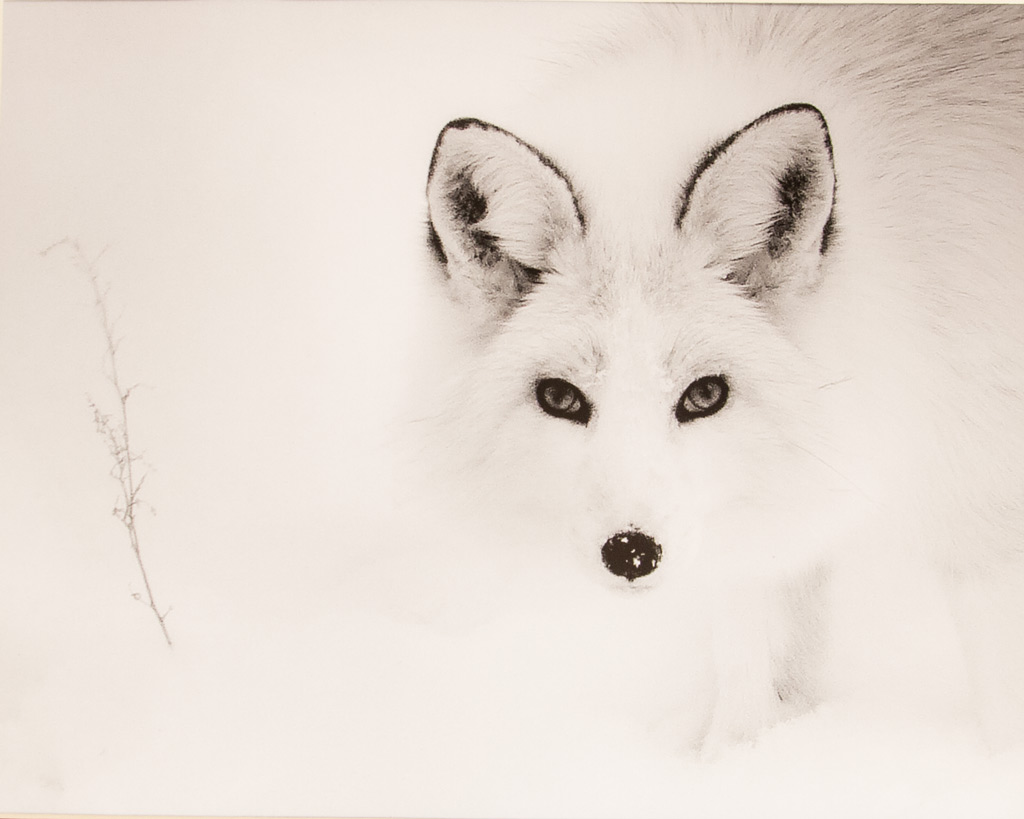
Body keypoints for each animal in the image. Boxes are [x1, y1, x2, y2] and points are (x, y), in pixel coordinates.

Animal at [414, 5, 1024, 753]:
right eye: (560, 398)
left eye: (704, 395)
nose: (632, 553)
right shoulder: (763, 515)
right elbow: (751, 664)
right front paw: (736, 756)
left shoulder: (986, 509)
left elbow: (1004, 702)